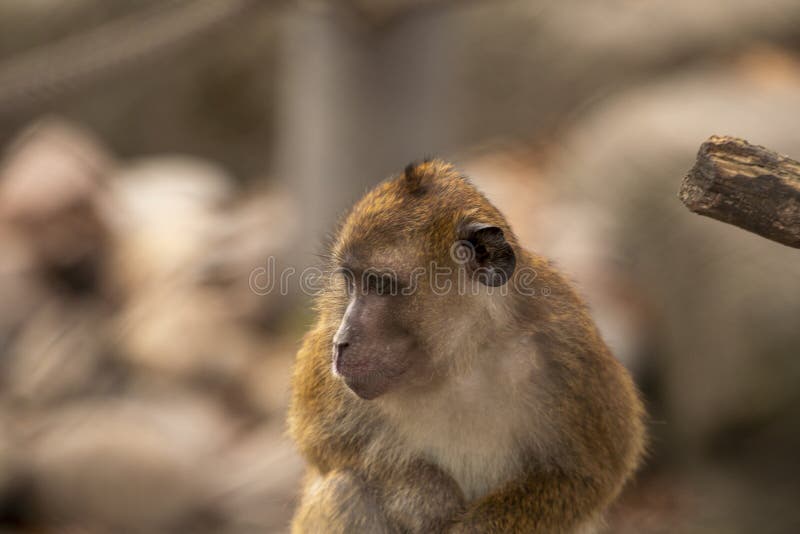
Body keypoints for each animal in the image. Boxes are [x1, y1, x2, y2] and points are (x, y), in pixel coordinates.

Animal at [288, 159, 645, 533]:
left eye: (380, 284)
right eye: (351, 281)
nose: (341, 342)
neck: (459, 359)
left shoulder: (568, 349)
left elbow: (591, 472)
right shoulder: (331, 329)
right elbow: (317, 437)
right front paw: (422, 495)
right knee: (347, 490)